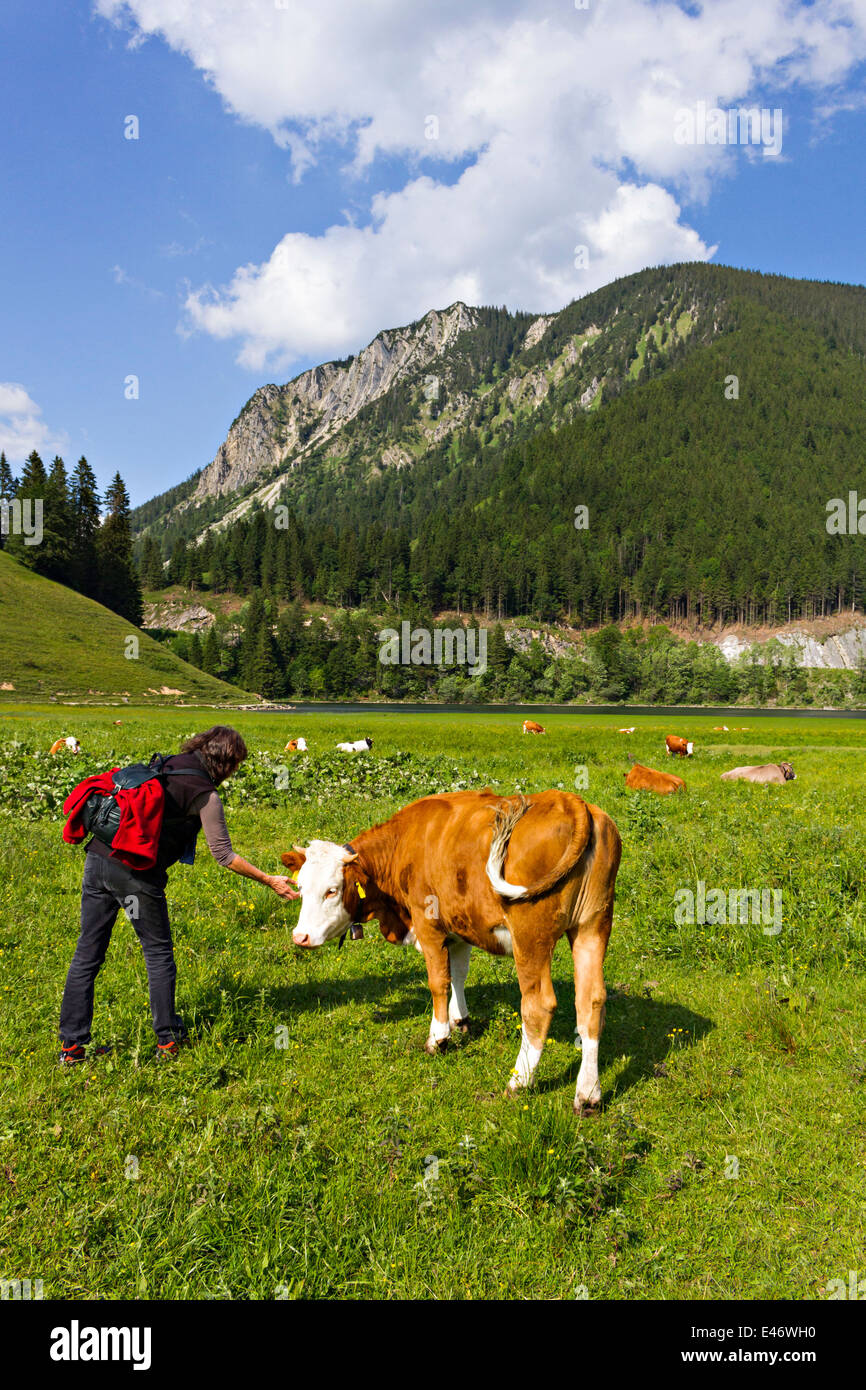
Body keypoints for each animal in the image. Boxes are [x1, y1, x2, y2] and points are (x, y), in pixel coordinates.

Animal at [281, 789, 622, 1113]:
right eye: (301, 888)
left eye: (332, 891)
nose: (301, 937)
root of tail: (569, 801)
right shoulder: (459, 927)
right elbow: (458, 974)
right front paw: (461, 1020)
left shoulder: (427, 923)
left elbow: (438, 982)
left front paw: (439, 1037)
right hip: (593, 927)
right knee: (591, 1002)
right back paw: (588, 1095)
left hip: (530, 937)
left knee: (538, 1005)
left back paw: (519, 1081)